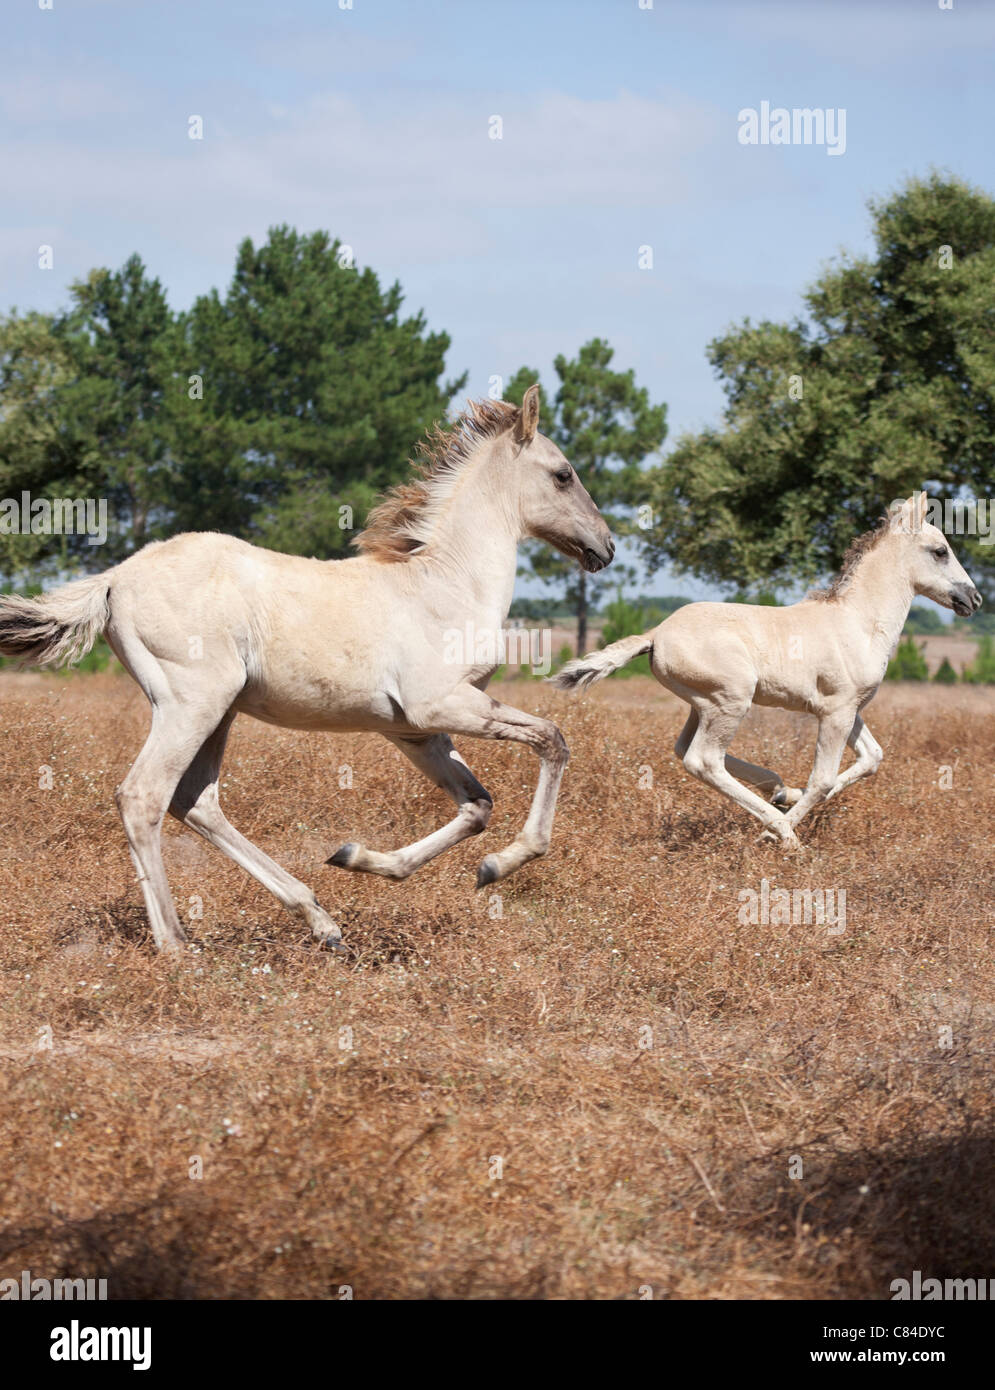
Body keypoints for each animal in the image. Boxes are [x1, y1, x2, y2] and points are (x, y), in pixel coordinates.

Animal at [0, 387, 614, 952]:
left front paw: (362, 858)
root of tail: (114, 578)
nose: (605, 547)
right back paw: (177, 945)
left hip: (219, 711)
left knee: (196, 801)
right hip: (190, 704)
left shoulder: (412, 729)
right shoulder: (441, 704)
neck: (446, 586)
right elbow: (553, 740)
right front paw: (503, 863)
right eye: (563, 474)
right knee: (144, 796)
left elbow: (477, 805)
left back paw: (320, 919)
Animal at [552, 492, 980, 848]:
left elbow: (871, 758)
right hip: (731, 699)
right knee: (703, 760)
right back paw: (780, 828)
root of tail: (656, 634)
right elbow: (823, 779)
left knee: (685, 750)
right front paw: (778, 832)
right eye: (940, 551)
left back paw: (777, 790)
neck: (859, 621)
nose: (973, 598)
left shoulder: (851, 709)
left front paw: (789, 798)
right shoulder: (836, 710)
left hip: (703, 705)